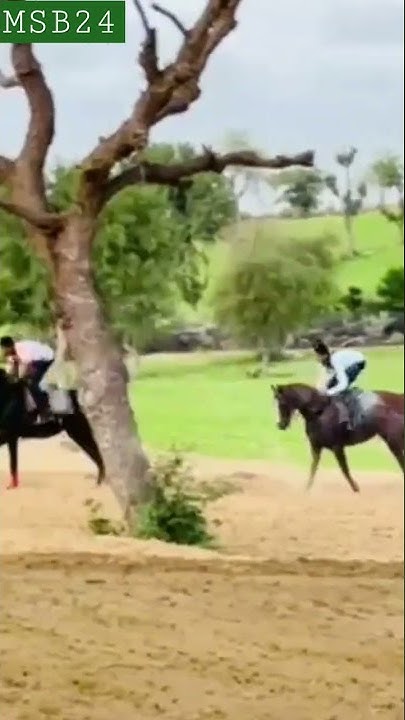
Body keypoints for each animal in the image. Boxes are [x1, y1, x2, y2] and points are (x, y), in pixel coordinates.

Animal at [271, 383, 404, 493]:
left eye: (282, 403)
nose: (280, 425)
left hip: (393, 441)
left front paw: (356, 488)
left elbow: (344, 469)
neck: (319, 413)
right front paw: (306, 489)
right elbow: (313, 468)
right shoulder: (316, 446)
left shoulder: (337, 447)